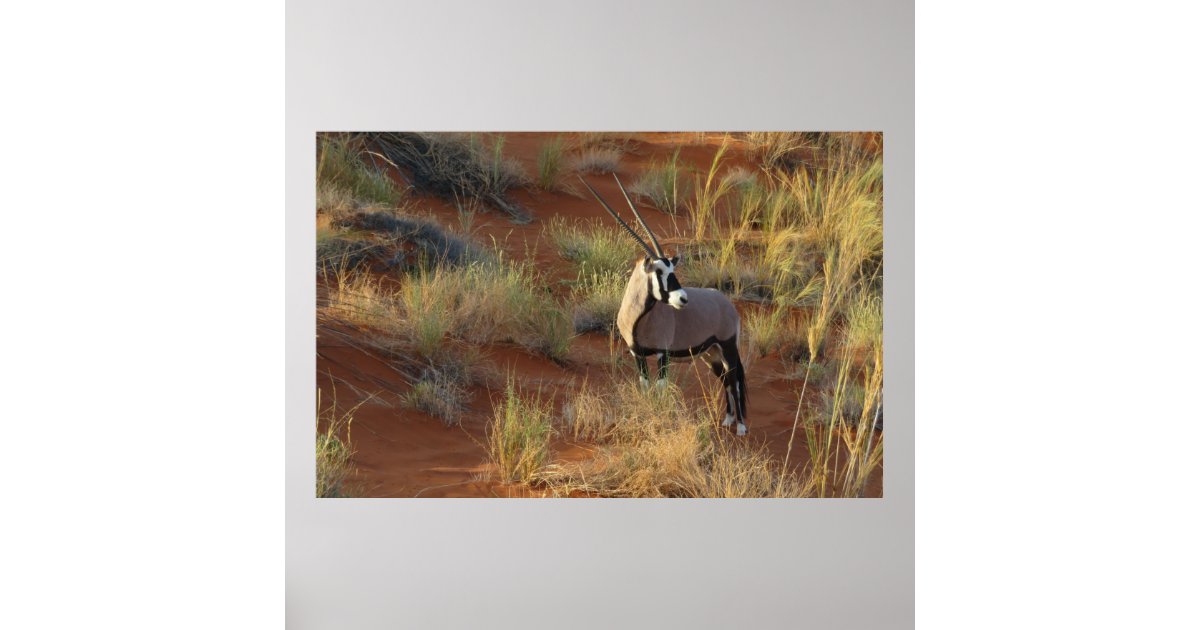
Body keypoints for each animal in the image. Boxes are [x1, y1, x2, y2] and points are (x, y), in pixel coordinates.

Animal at [578, 174, 749, 436]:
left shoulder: (663, 354)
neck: (638, 319)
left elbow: (660, 388)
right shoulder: (636, 354)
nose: (683, 299)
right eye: (659, 271)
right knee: (725, 380)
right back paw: (728, 420)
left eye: (672, 270)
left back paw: (740, 427)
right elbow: (645, 385)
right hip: (711, 353)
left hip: (728, 346)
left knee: (734, 380)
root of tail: (728, 305)